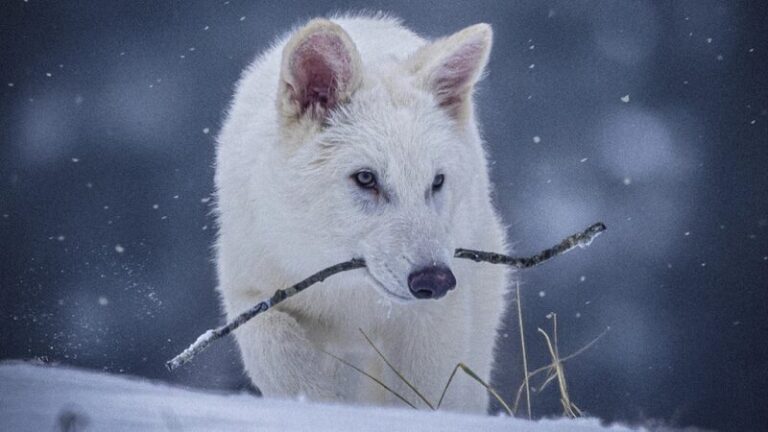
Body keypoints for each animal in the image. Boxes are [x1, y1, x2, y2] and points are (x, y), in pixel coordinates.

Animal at [214, 14, 509, 413]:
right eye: (366, 178)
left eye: (436, 181)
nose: (435, 280)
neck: (349, 293)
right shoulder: (251, 293)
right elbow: (280, 355)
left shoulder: (432, 320)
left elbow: (423, 396)